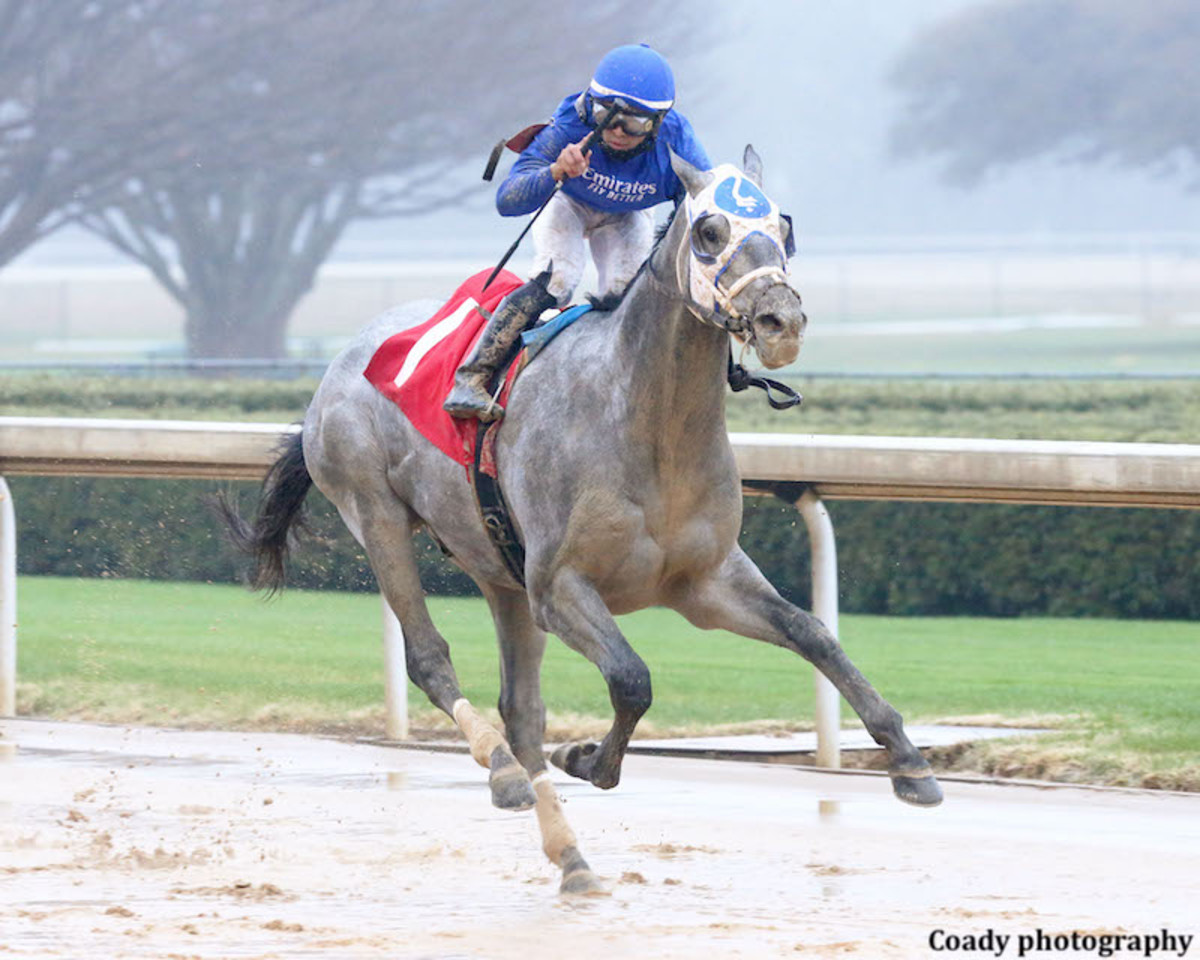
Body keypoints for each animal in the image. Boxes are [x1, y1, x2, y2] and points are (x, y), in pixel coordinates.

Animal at [223, 146, 943, 896]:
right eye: (710, 230)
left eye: (784, 228)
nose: (782, 322)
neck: (647, 424)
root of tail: (338, 364)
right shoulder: (562, 585)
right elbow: (631, 678)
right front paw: (588, 756)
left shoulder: (704, 581)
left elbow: (814, 634)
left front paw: (909, 761)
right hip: (376, 512)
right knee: (430, 659)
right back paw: (505, 773)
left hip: (499, 570)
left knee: (521, 706)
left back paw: (570, 856)